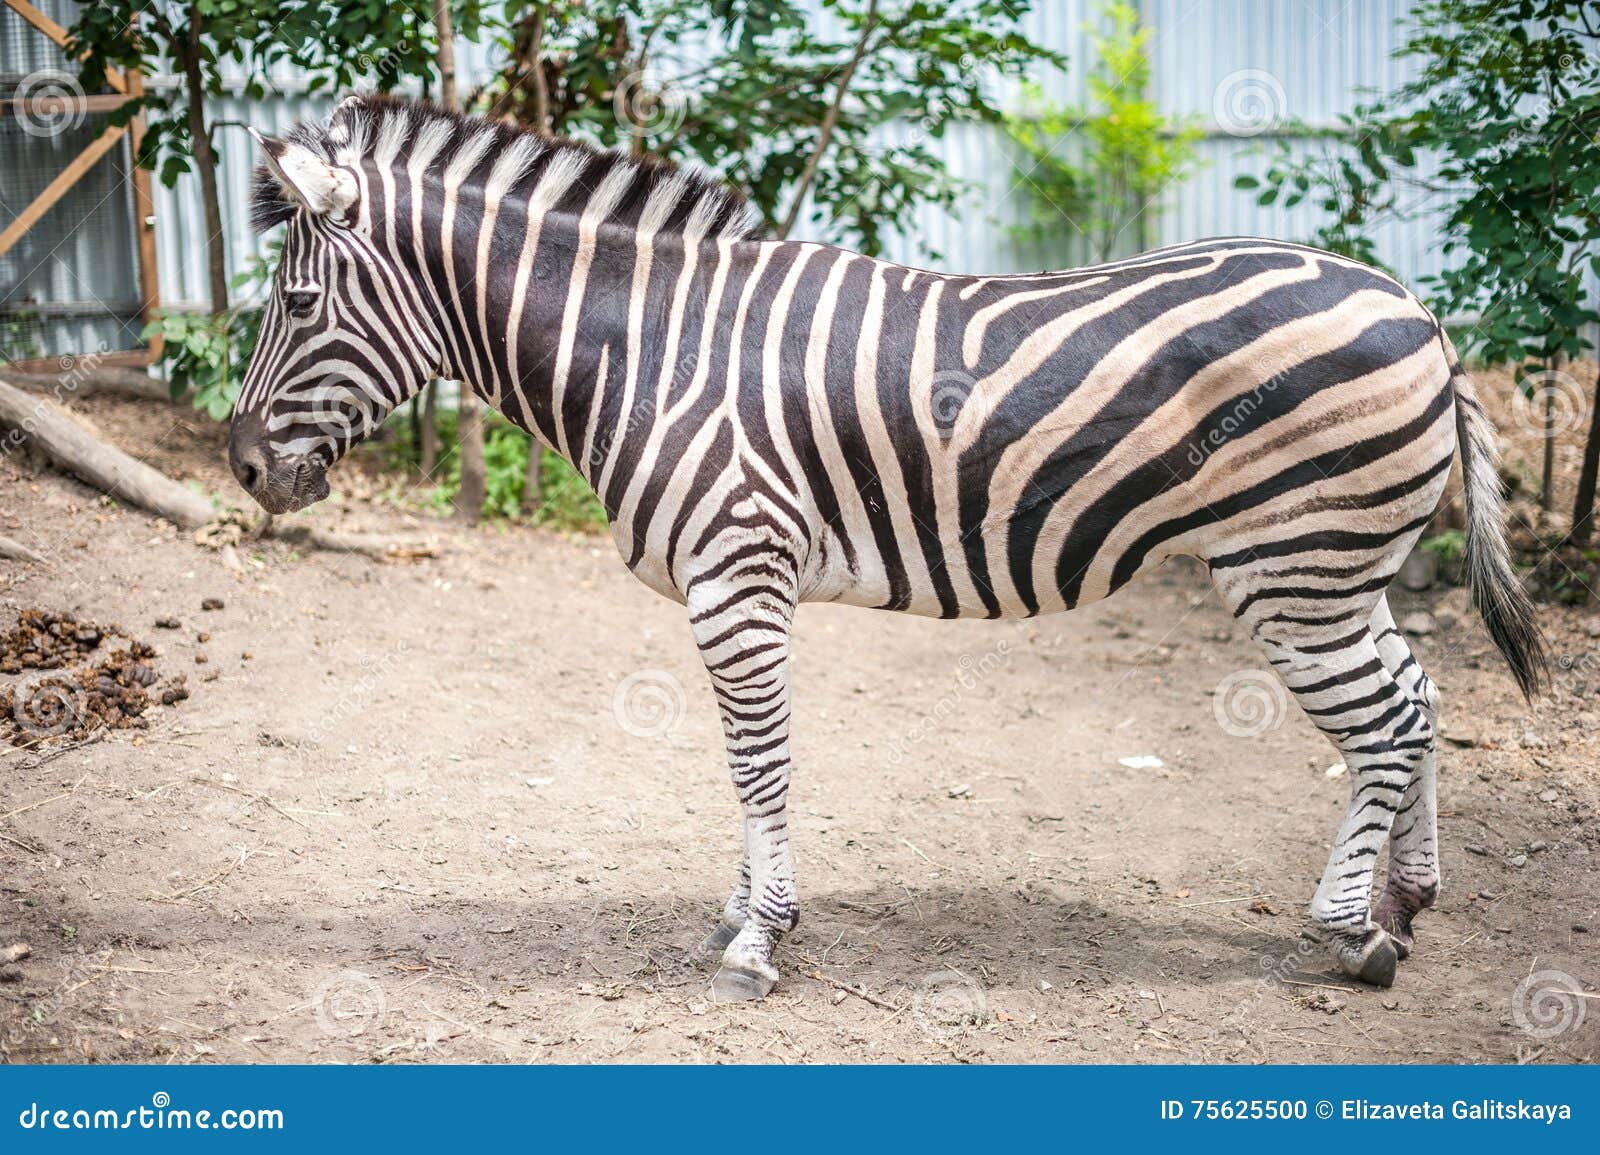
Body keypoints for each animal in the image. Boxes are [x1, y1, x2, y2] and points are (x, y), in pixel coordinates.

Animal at [230, 96, 1546, 1001]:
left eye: (294, 307)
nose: (240, 467)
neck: (647, 345)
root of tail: (1419, 307)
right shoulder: (733, 588)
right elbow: (743, 764)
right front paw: (739, 914)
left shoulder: (736, 578)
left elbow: (758, 763)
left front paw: (759, 940)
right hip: (1337, 569)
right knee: (1421, 701)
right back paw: (1410, 903)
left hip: (1296, 568)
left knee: (1384, 726)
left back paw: (1354, 935)